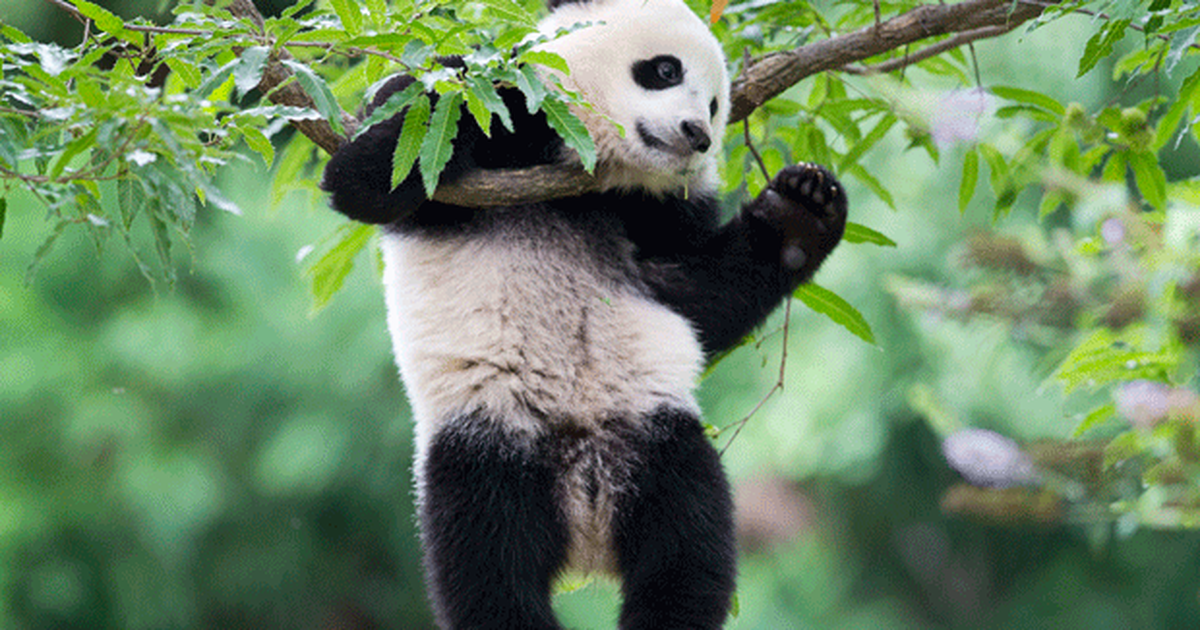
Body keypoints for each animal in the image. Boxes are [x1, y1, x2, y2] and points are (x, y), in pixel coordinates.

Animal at [320, 0, 847, 627]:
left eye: (718, 105)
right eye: (665, 70)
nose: (697, 134)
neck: (593, 171)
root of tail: (585, 522)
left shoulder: (658, 212)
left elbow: (698, 298)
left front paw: (802, 210)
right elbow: (375, 176)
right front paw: (456, 89)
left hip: (654, 439)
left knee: (688, 546)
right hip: (489, 442)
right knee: (489, 563)